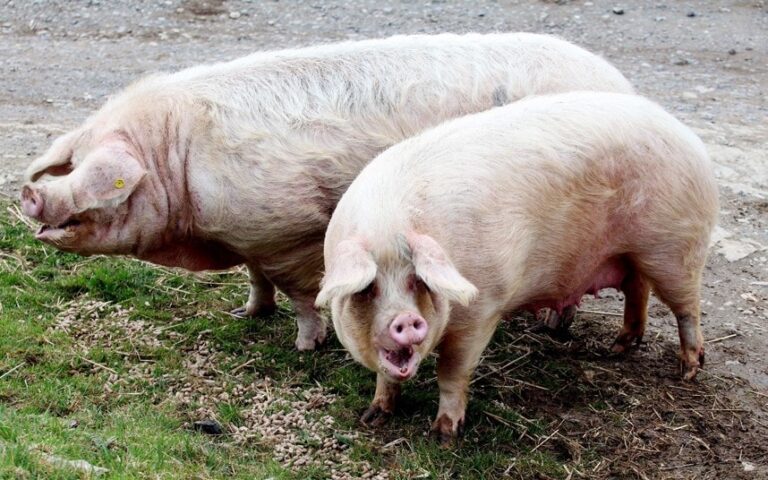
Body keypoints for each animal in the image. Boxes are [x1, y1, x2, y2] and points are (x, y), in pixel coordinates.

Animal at [20, 33, 634, 350]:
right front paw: (246, 315)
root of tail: (624, 86)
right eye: (73, 161)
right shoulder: (249, 234)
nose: (28, 196)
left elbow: (297, 290)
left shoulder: (286, 227)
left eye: (98, 178)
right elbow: (256, 279)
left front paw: (305, 345)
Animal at [316, 91, 719, 443]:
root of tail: (688, 137)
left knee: (687, 309)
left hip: (674, 247)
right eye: (368, 288)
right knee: (638, 288)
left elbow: (452, 373)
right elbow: (386, 378)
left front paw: (444, 436)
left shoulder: (482, 309)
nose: (405, 319)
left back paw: (687, 371)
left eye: (418, 280)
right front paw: (372, 417)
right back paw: (617, 349)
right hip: (632, 254)